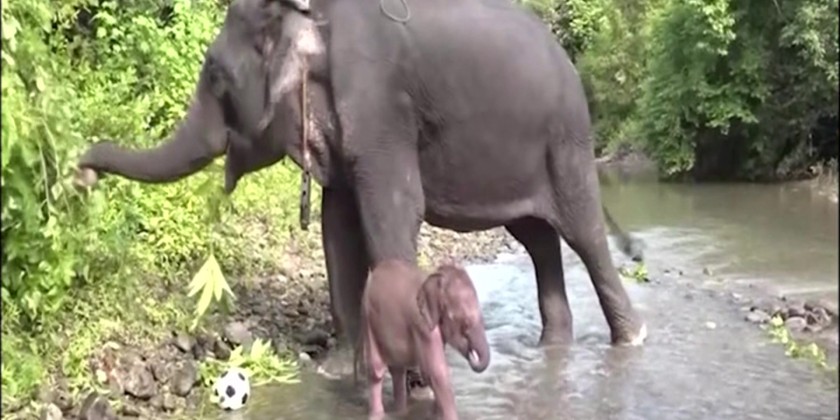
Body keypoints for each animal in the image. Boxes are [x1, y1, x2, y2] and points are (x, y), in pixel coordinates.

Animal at [74, 0, 648, 360]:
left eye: (216, 76)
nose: (82, 173)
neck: (303, 13)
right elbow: (338, 229)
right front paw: (341, 369)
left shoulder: (380, 101)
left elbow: (390, 212)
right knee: (537, 239)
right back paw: (554, 348)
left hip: (566, 139)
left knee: (583, 233)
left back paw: (631, 340)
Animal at [354, 260, 489, 420]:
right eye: (465, 323)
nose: (472, 354)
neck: (434, 279)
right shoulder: (421, 324)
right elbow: (435, 372)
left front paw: (435, 414)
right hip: (368, 318)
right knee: (376, 370)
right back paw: (378, 415)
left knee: (398, 371)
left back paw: (400, 412)